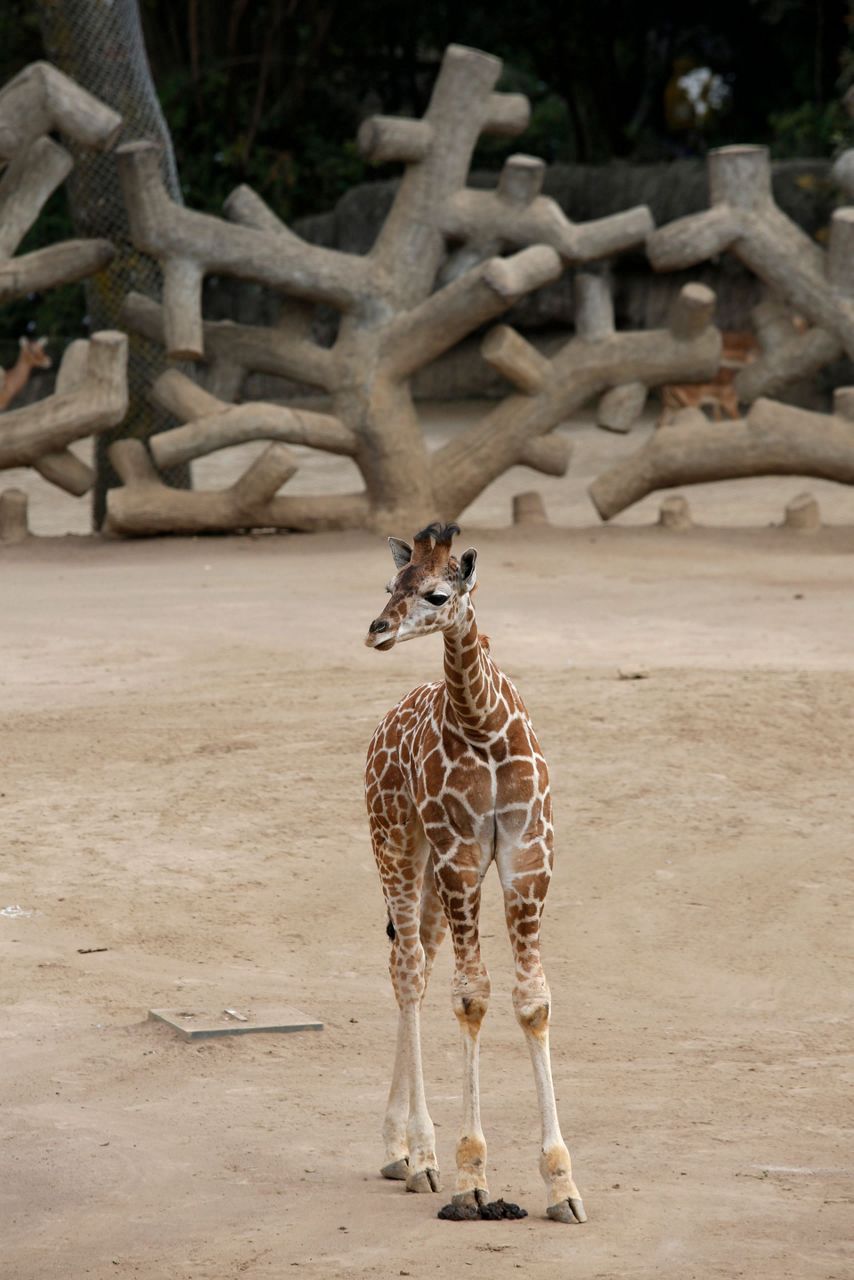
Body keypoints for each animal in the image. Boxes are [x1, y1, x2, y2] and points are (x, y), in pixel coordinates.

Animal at [364, 521, 586, 1224]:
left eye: (438, 594)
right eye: (391, 584)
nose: (377, 628)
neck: (482, 724)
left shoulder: (527, 857)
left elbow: (533, 1002)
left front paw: (563, 1185)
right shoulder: (461, 854)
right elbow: (472, 996)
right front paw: (470, 1178)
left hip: (433, 875)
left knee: (415, 965)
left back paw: (402, 1152)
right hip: (398, 844)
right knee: (408, 970)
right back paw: (418, 1157)